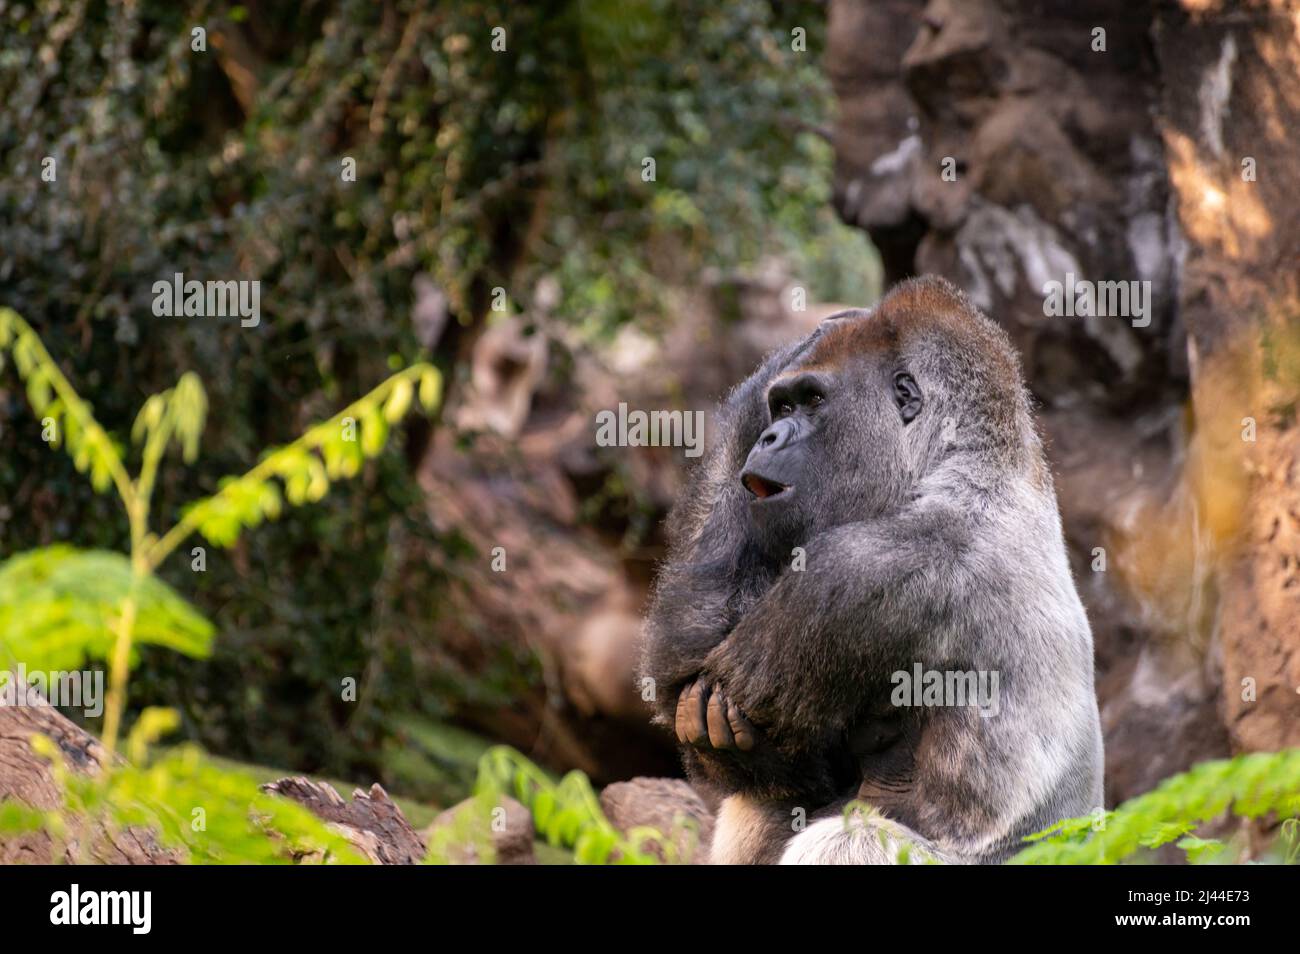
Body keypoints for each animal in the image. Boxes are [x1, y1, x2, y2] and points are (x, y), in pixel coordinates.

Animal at [641, 275, 1104, 864]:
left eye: (814, 402)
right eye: (780, 406)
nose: (768, 438)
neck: (965, 462)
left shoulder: (862, 568)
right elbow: (791, 767)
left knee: (848, 840)